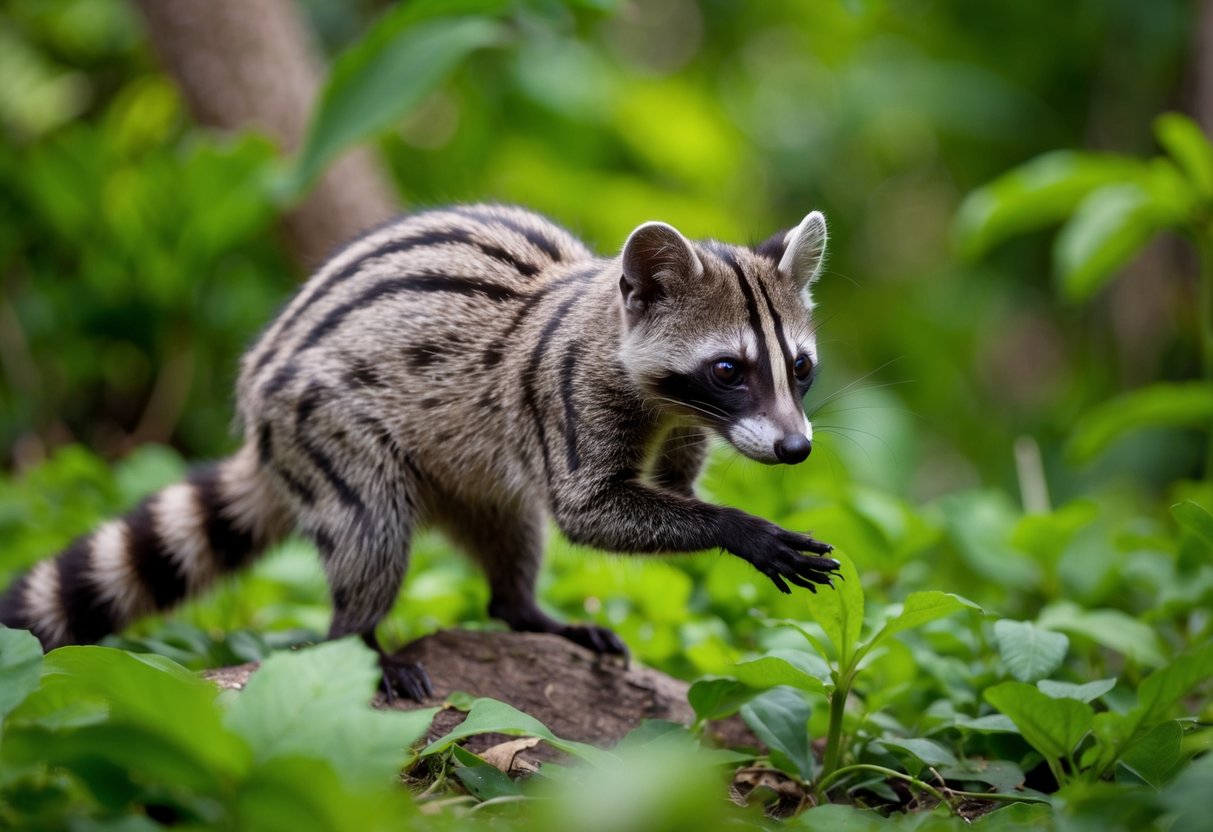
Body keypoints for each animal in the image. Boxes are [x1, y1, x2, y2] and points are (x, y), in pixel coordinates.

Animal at [0, 204, 839, 700]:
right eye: (728, 369)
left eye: (798, 367)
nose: (795, 449)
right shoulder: (568, 396)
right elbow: (587, 512)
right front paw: (741, 529)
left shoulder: (682, 423)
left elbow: (661, 491)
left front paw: (712, 508)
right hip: (324, 427)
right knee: (371, 531)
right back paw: (360, 637)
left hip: (462, 468)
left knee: (509, 527)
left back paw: (521, 608)